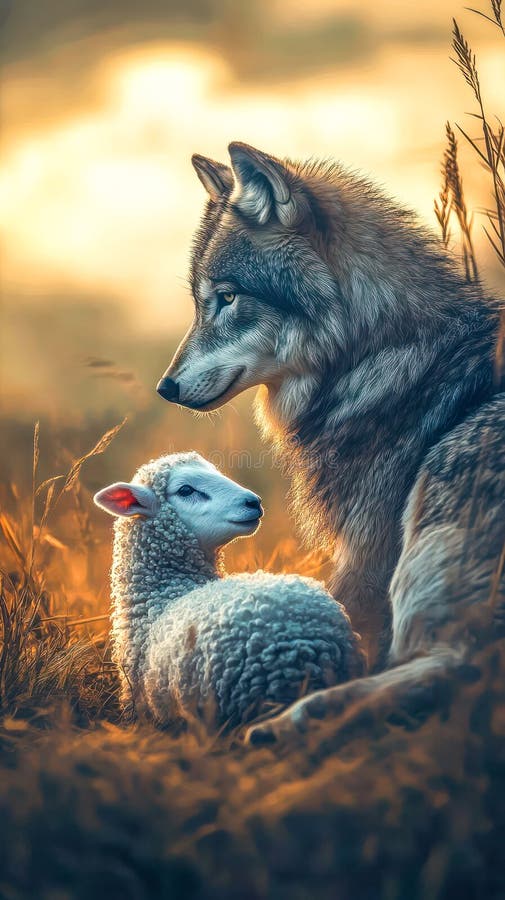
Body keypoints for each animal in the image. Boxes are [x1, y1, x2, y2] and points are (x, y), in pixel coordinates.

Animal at [157, 143, 505, 745]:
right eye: (201, 304)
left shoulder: (367, 559)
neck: (377, 360)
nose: (165, 388)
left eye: (227, 298)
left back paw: (294, 719)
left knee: (458, 668)